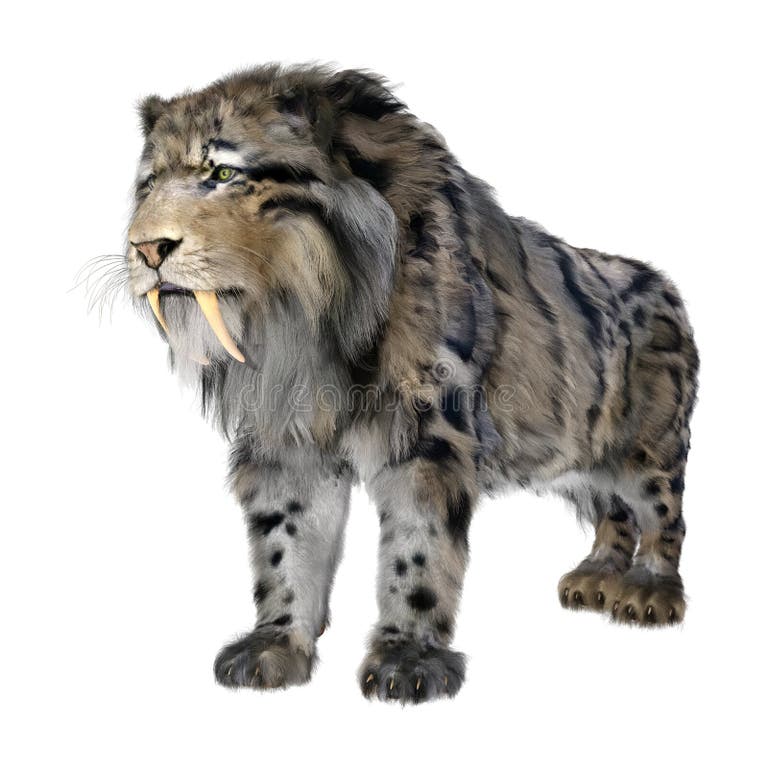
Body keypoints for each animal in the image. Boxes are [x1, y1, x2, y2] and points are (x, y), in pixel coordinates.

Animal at [118, 63, 698, 704]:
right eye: (148, 185)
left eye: (222, 173)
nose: (145, 248)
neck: (303, 317)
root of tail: (667, 287)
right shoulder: (287, 444)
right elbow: (284, 545)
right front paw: (276, 644)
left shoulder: (430, 438)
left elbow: (417, 552)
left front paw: (408, 661)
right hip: (580, 457)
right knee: (612, 510)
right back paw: (596, 578)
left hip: (651, 451)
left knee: (663, 516)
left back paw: (648, 592)